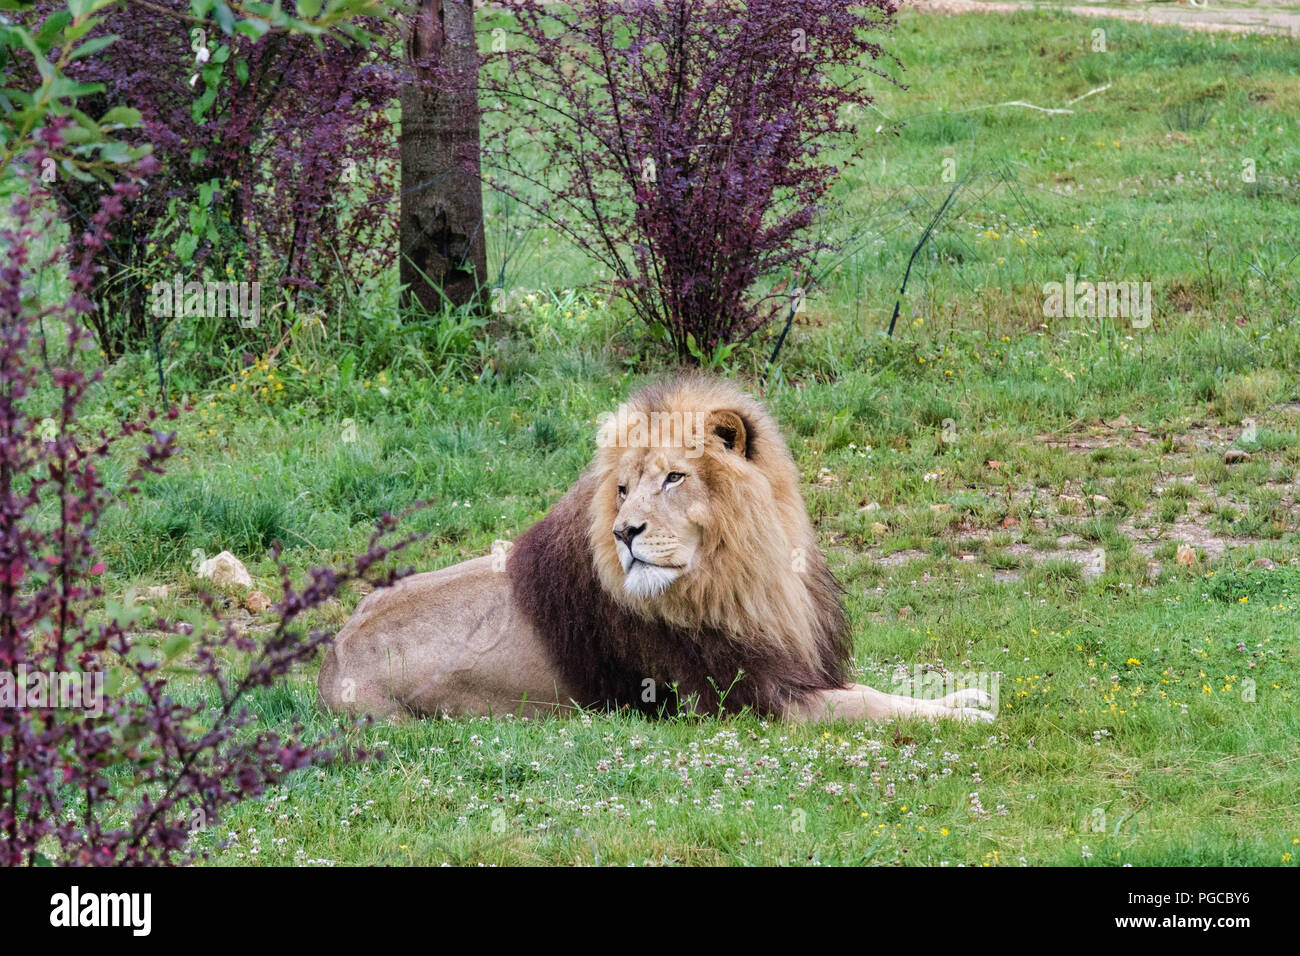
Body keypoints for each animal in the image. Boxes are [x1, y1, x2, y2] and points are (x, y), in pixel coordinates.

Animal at [317, 375, 994, 723]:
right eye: (622, 489)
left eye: (673, 478)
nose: (624, 532)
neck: (746, 572)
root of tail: (329, 661)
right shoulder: (751, 699)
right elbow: (871, 703)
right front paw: (963, 715)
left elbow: (876, 684)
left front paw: (961, 693)